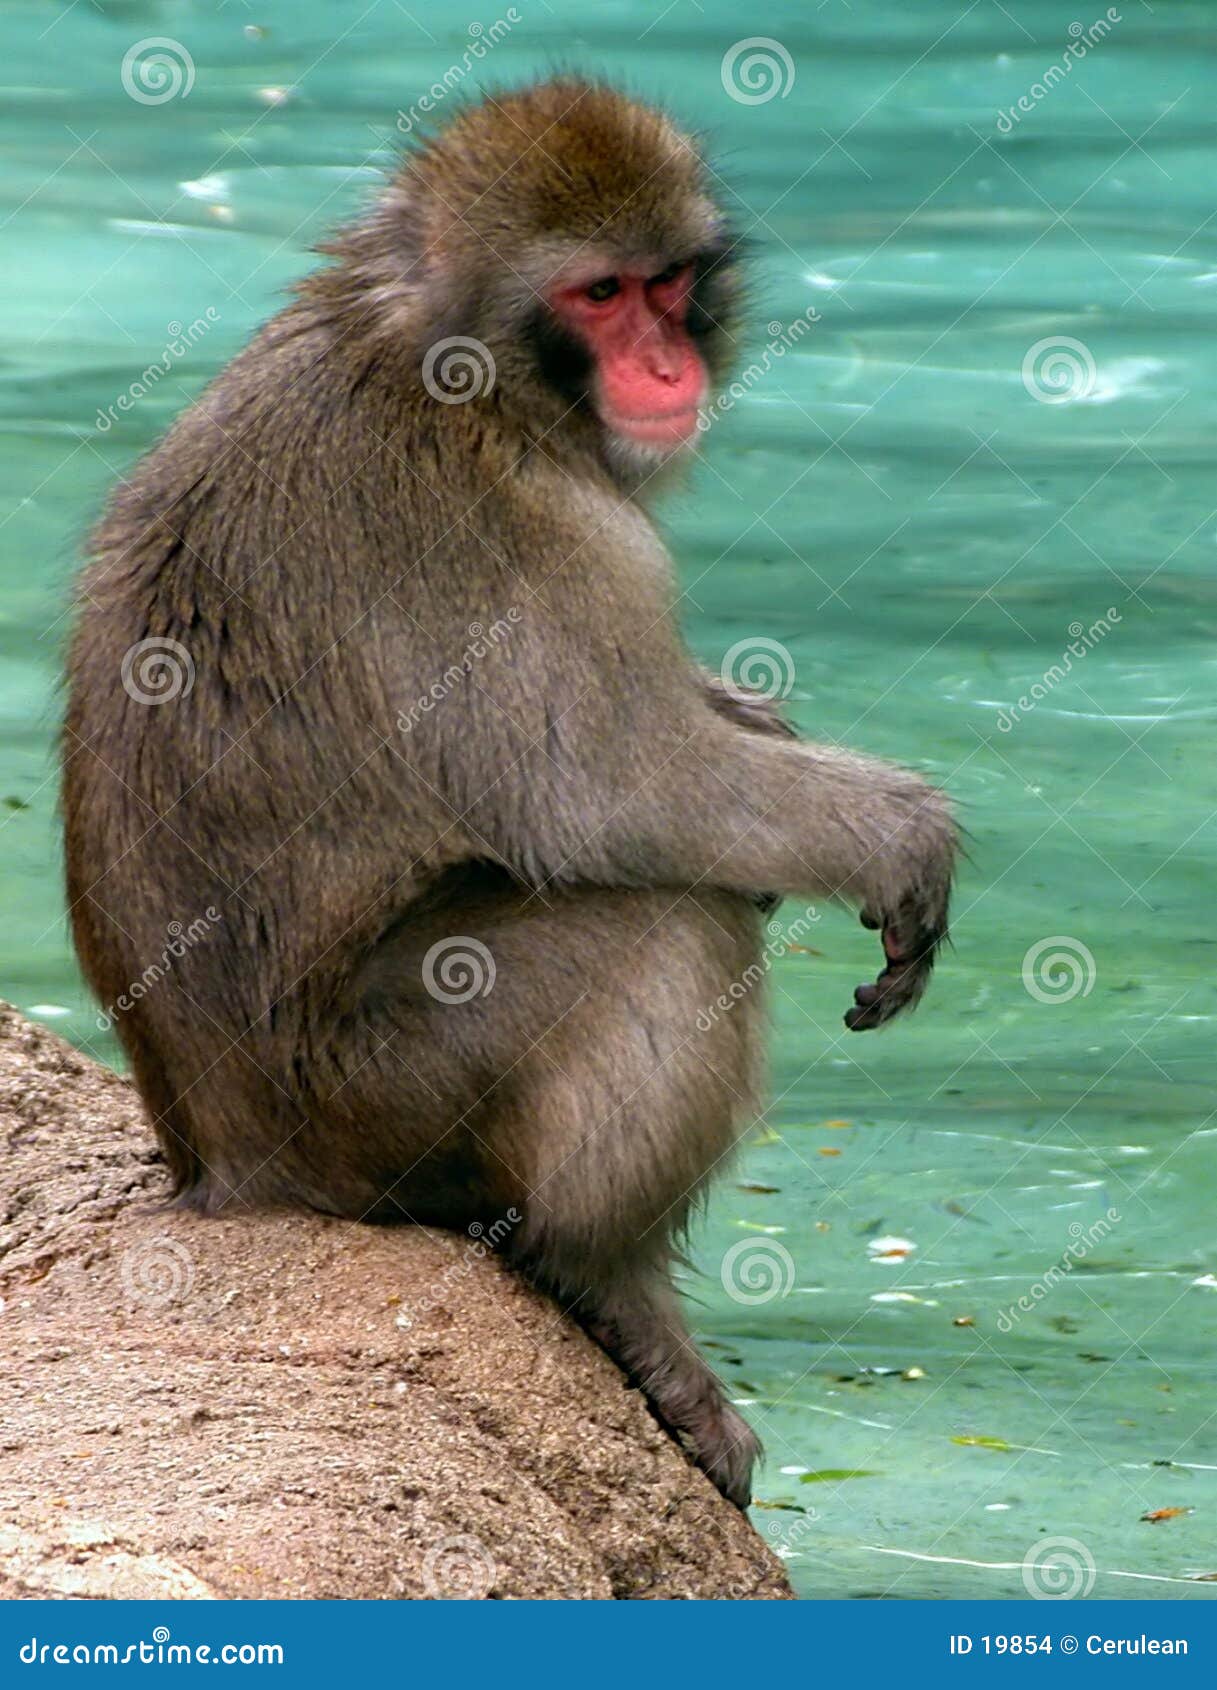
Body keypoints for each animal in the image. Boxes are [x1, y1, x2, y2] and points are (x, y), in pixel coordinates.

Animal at [63, 79, 956, 1510]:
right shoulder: (534, 537)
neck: (447, 366)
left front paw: (750, 711)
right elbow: (613, 794)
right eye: (598, 295)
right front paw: (893, 833)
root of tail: (221, 1163)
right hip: (372, 1106)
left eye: (666, 283)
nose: (668, 367)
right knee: (667, 925)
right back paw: (610, 1279)